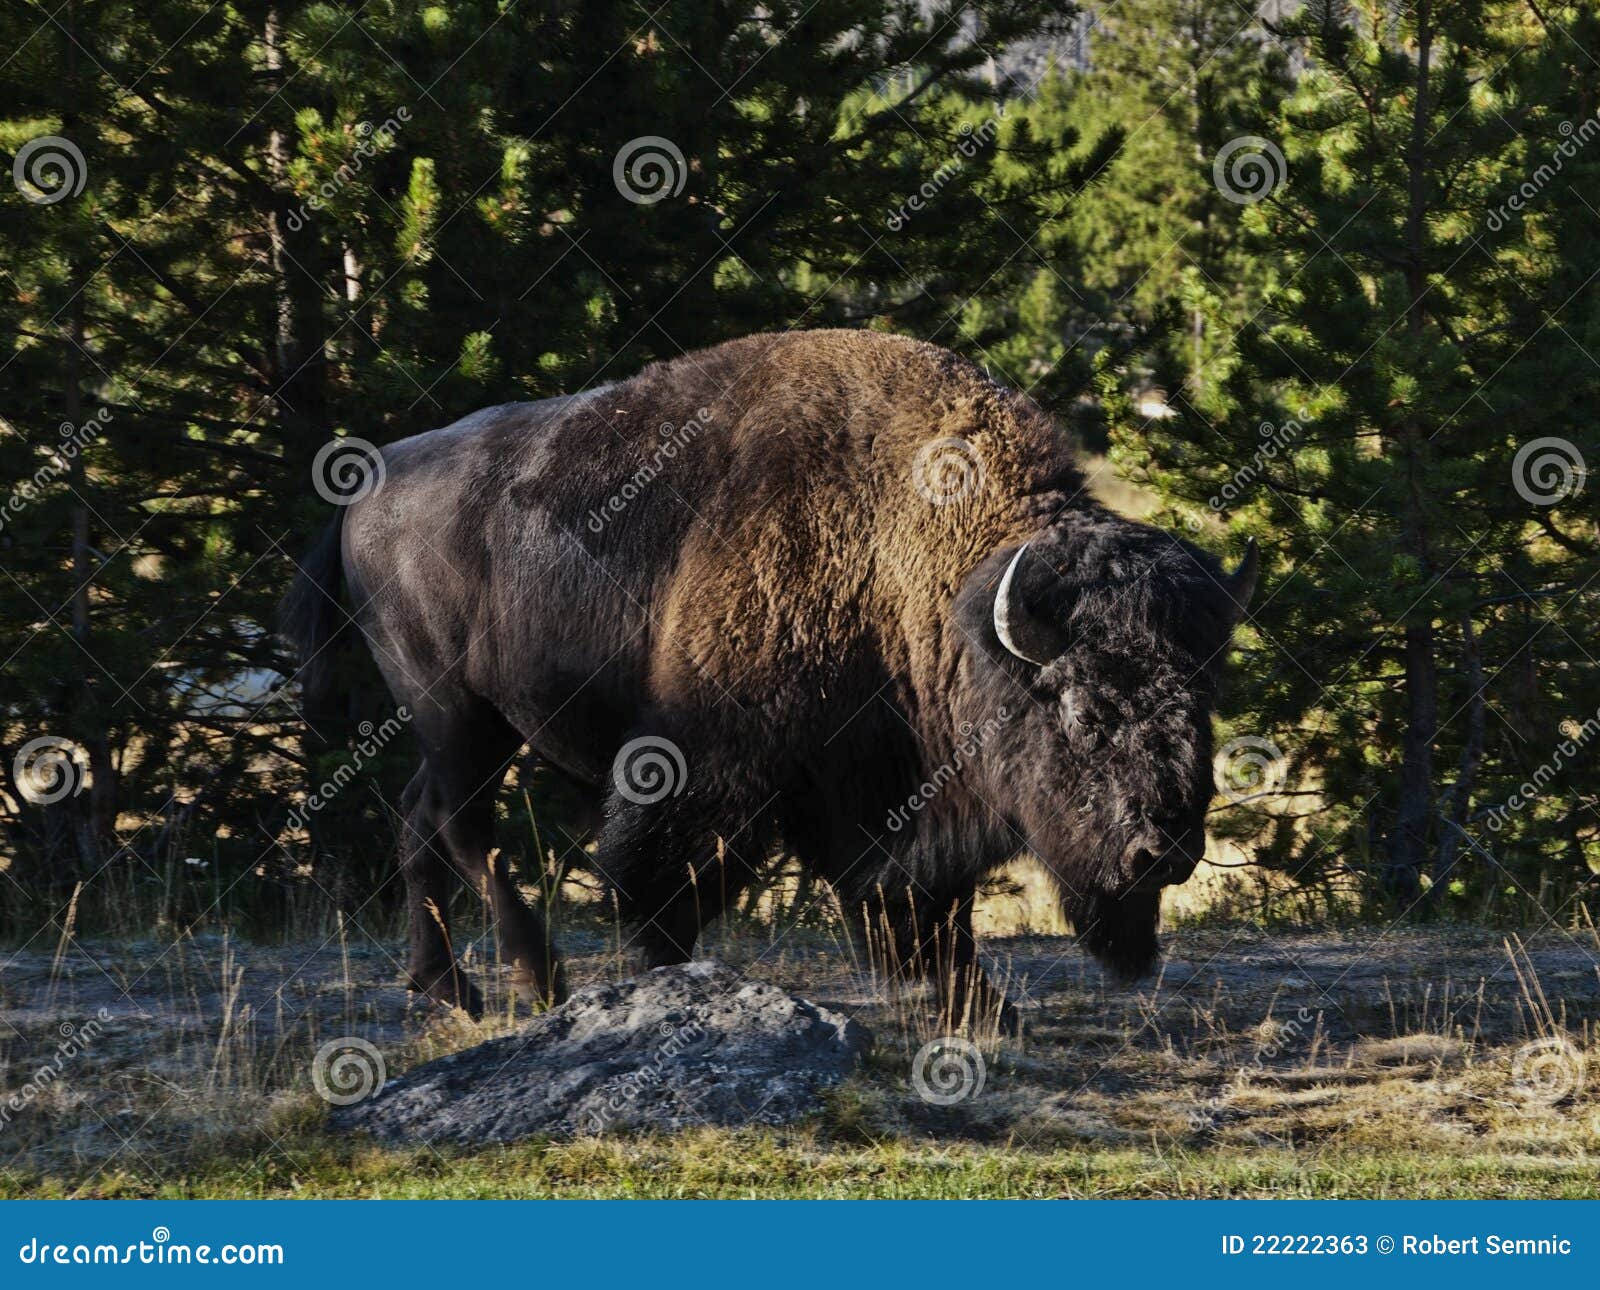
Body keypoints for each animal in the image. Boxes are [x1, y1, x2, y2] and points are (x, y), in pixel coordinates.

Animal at [281, 330, 1256, 1032]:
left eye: (1203, 706)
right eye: (1087, 714)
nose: (1163, 850)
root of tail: (367, 487)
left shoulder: (890, 788)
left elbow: (923, 908)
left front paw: (987, 1015)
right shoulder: (711, 760)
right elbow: (663, 877)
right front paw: (669, 980)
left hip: (461, 726)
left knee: (419, 817)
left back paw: (447, 989)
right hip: (457, 709)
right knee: (460, 823)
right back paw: (538, 977)